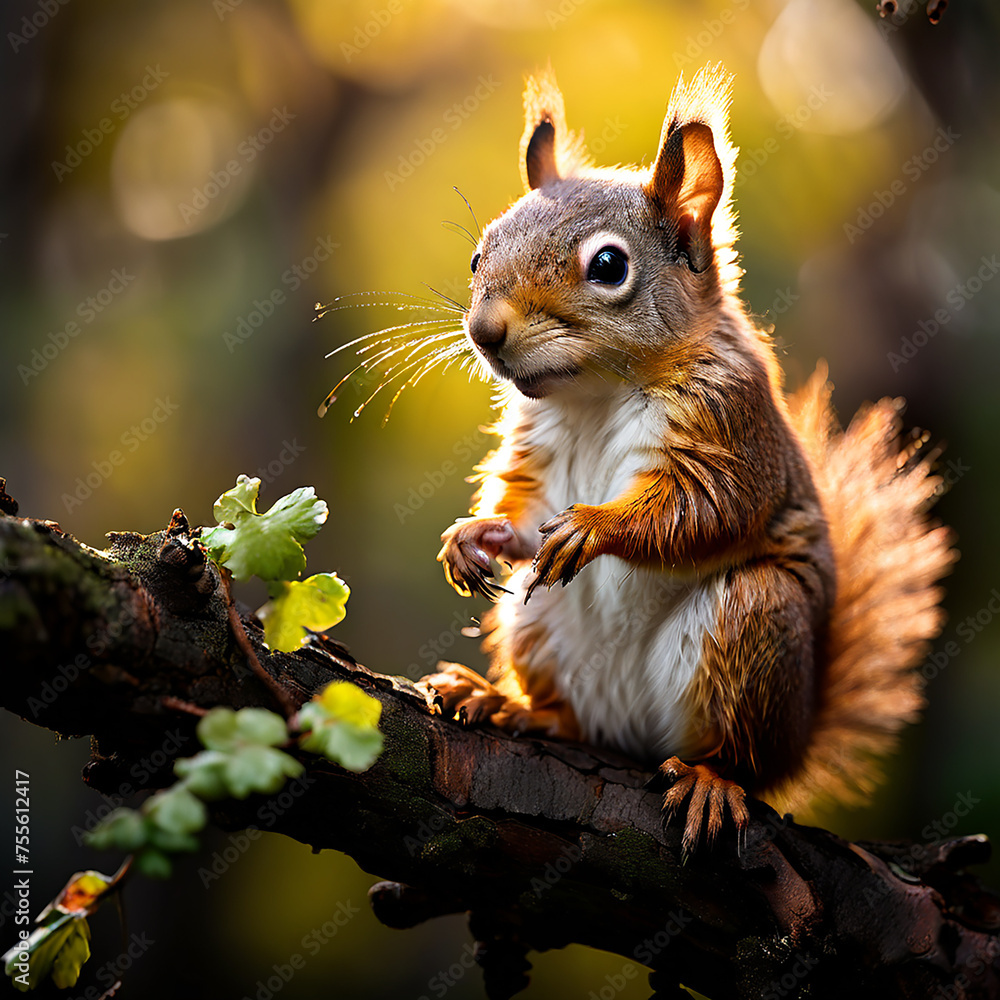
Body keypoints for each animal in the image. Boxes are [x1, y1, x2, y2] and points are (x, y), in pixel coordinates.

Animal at [416, 66, 956, 852]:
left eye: (609, 266)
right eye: (477, 254)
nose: (486, 331)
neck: (597, 391)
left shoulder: (729, 425)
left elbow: (708, 509)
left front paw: (595, 527)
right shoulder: (537, 448)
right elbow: (525, 513)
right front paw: (471, 538)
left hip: (752, 623)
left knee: (739, 757)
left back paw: (709, 779)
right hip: (534, 623)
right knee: (574, 719)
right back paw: (513, 706)